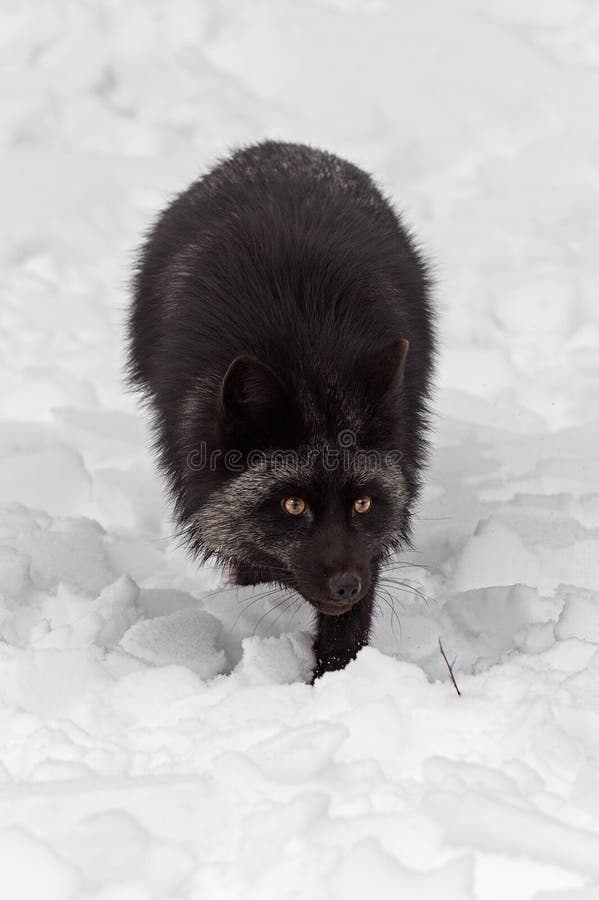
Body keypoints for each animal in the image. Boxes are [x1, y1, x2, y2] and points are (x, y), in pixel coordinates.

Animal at [127, 140, 435, 679]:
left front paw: (337, 681)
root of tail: (282, 148)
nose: (346, 586)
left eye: (363, 503)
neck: (312, 360)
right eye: (293, 505)